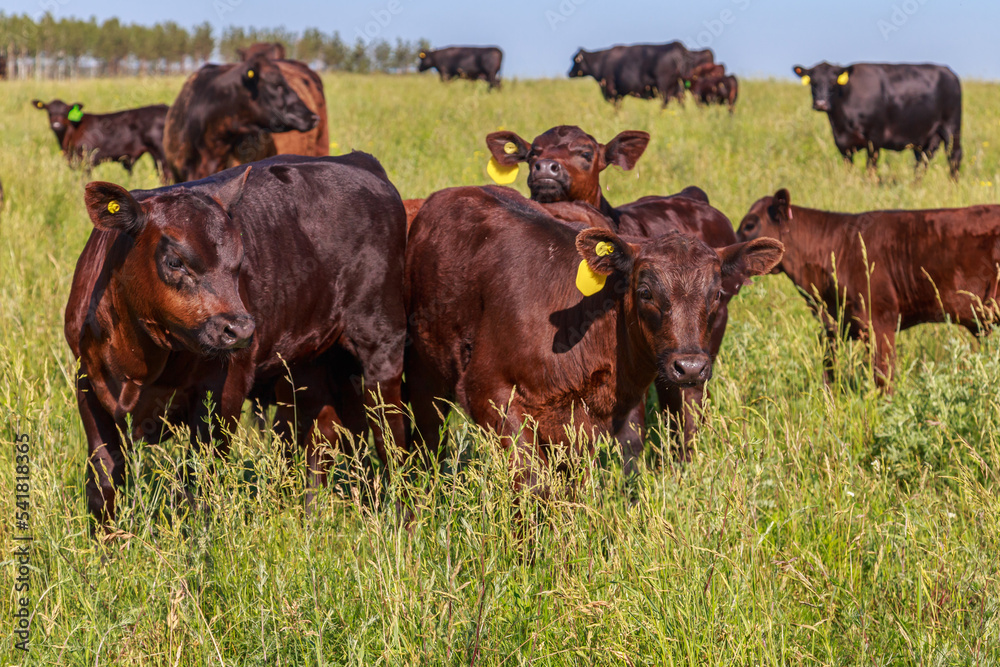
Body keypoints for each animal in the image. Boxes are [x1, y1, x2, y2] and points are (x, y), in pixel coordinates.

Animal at [65, 153, 407, 531]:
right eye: (174, 261)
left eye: (239, 262)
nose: (241, 329)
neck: (139, 361)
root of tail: (356, 161)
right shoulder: (88, 384)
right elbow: (103, 479)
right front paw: (105, 544)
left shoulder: (223, 390)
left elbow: (199, 483)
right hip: (311, 364)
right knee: (320, 437)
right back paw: (311, 518)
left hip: (382, 342)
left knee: (390, 436)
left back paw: (404, 519)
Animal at [405, 185, 782, 484]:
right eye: (645, 292)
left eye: (716, 293)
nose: (689, 366)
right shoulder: (490, 393)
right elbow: (532, 482)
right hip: (426, 376)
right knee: (427, 438)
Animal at [792, 62, 962, 178]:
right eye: (813, 82)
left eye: (833, 81)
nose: (821, 103)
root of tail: (948, 71)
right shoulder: (843, 144)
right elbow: (849, 166)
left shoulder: (874, 138)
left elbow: (870, 167)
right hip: (926, 137)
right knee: (922, 161)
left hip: (952, 128)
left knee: (954, 156)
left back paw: (952, 185)